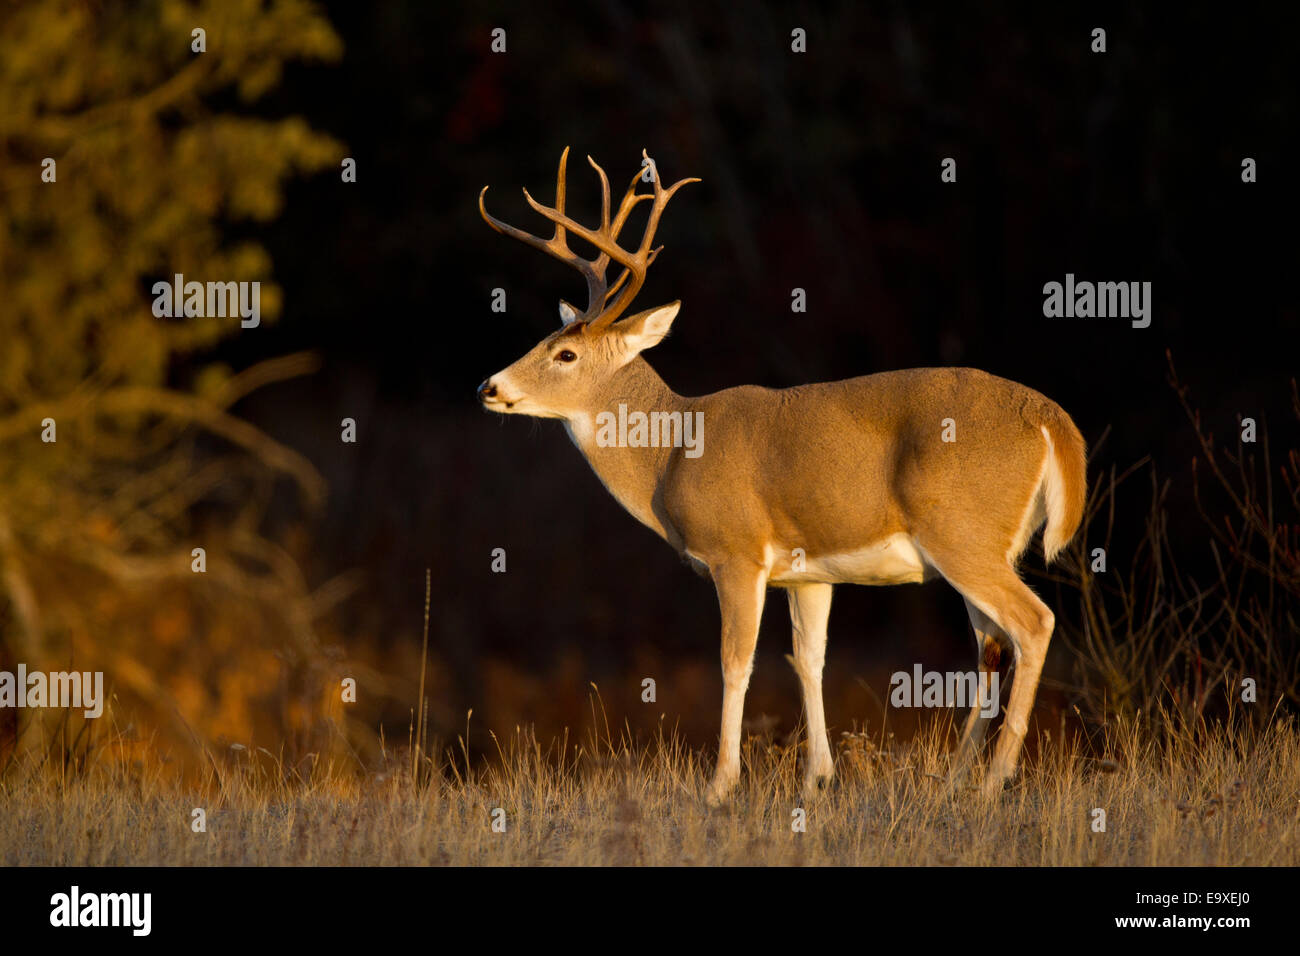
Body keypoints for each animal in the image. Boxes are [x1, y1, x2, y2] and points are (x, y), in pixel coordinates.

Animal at [477, 148, 1087, 804]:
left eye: (565, 354)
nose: (489, 387)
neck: (670, 453)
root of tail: (1052, 421)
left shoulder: (736, 552)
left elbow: (735, 662)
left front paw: (719, 785)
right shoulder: (809, 572)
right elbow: (808, 659)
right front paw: (817, 777)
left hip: (962, 531)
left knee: (1033, 623)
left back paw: (994, 778)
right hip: (986, 545)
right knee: (992, 645)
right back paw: (951, 781)